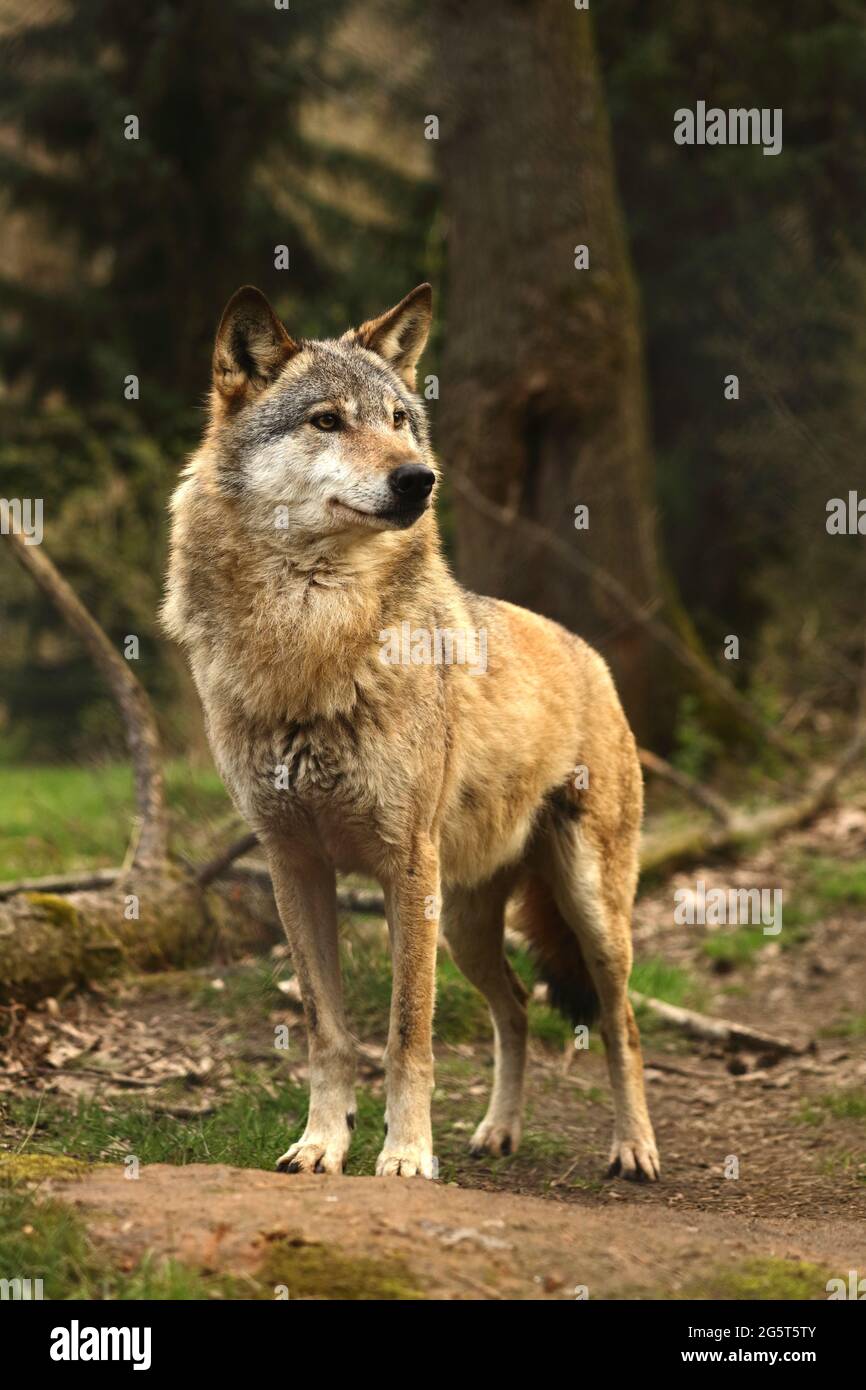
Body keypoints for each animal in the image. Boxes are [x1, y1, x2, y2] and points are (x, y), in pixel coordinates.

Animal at [162, 283, 659, 1182]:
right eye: (327, 421)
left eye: (399, 418)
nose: (419, 478)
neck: (311, 636)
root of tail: (591, 655)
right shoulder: (295, 866)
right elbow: (327, 1032)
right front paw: (321, 1145)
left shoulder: (403, 867)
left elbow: (407, 1036)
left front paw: (404, 1156)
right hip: (464, 925)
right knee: (518, 1008)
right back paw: (497, 1132)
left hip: (585, 913)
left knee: (620, 1024)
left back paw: (633, 1148)